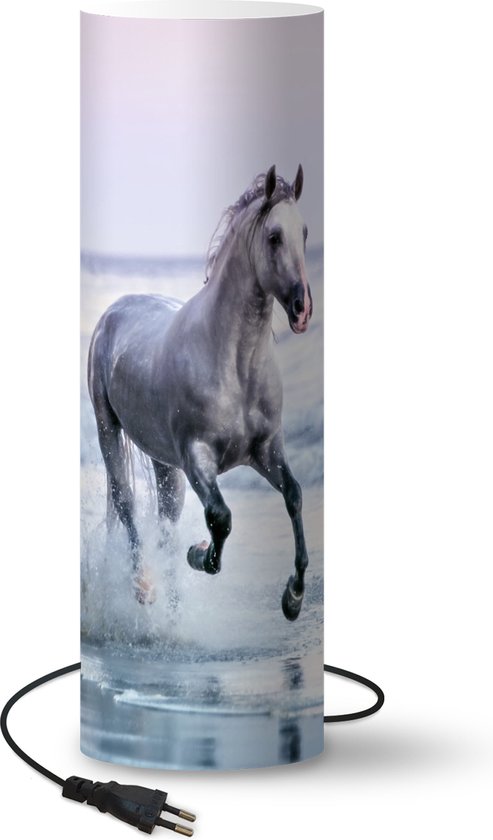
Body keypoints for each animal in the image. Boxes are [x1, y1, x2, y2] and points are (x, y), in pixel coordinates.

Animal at [88, 164, 313, 621]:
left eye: (304, 233)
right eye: (273, 237)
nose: (302, 309)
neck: (234, 363)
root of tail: (113, 311)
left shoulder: (265, 450)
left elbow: (295, 496)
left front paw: (293, 598)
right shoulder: (197, 457)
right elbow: (220, 518)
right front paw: (200, 553)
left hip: (162, 462)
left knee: (166, 521)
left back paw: (172, 615)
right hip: (109, 431)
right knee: (127, 505)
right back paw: (143, 586)